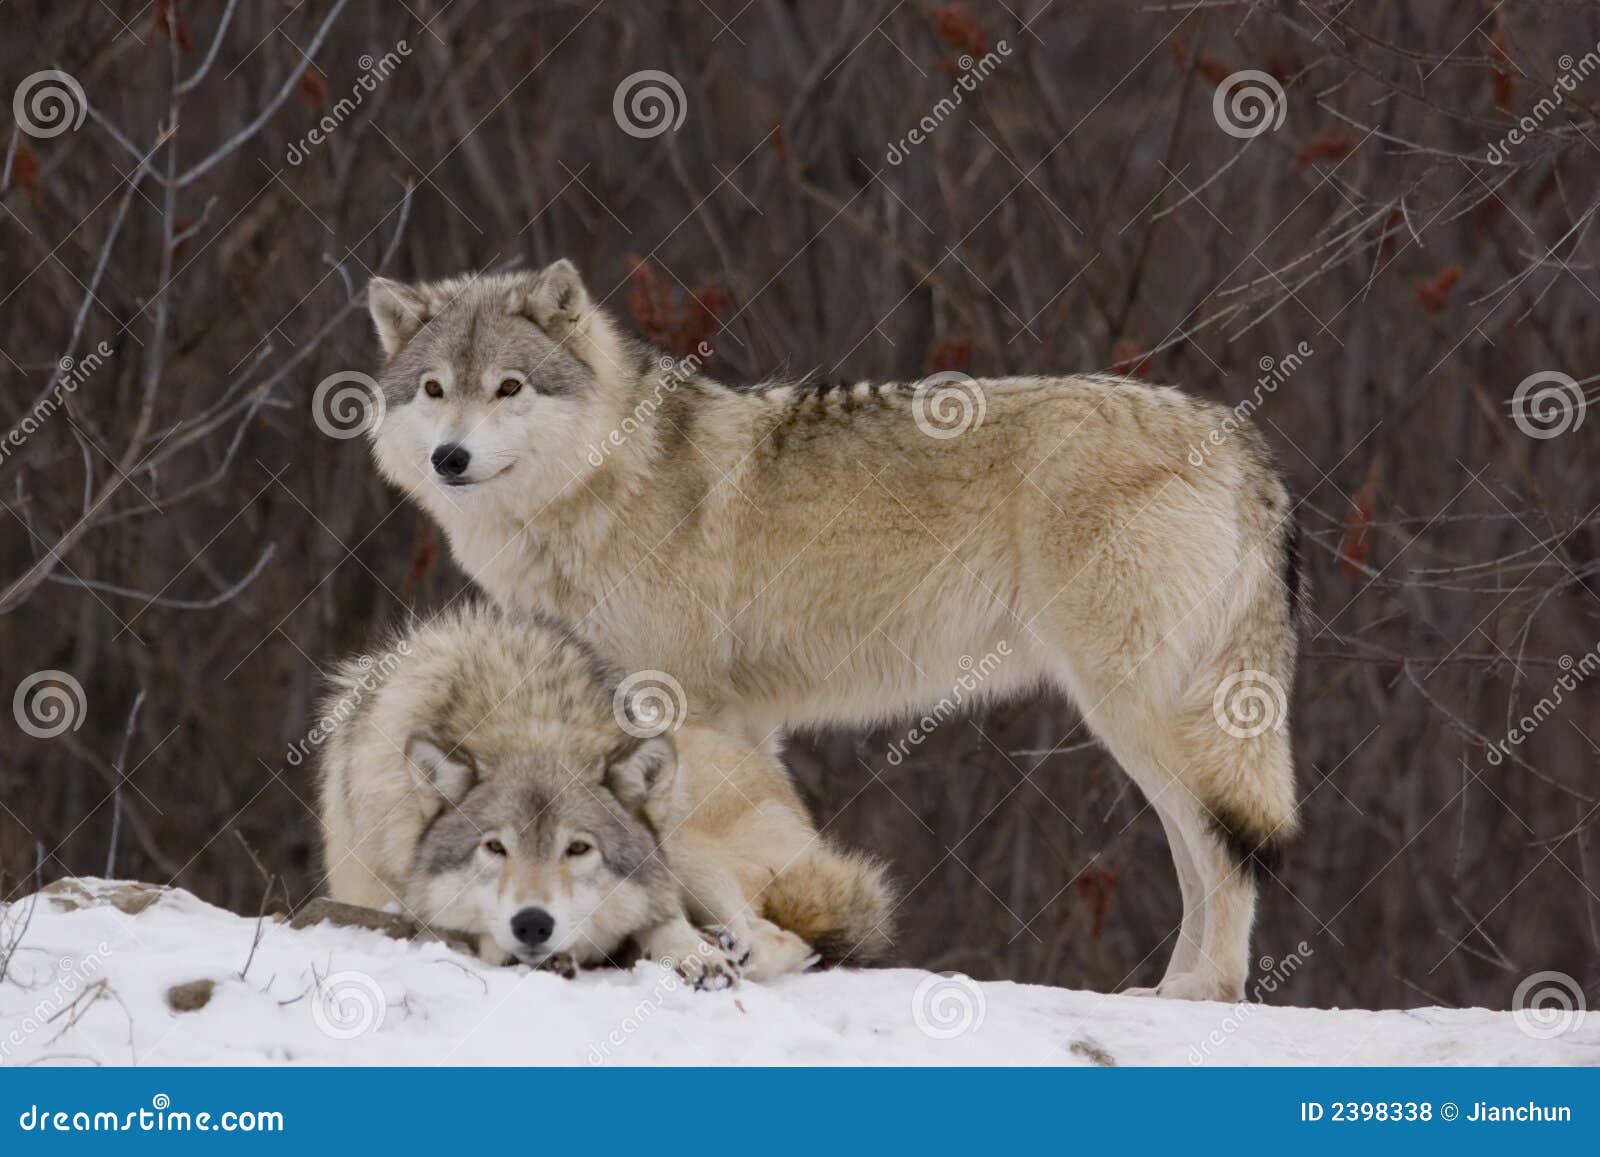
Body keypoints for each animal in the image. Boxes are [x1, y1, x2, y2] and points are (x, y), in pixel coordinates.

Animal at [317, 604, 895, 988]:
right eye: (495, 848)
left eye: (579, 849)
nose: (533, 923)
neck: (525, 719)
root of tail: (772, 774)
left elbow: (666, 922)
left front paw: (696, 955)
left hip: (688, 847)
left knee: (777, 935)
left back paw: (728, 947)